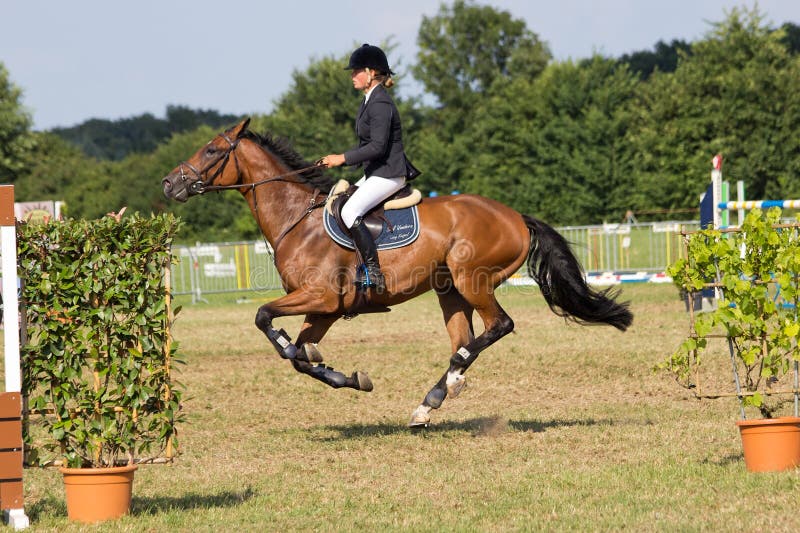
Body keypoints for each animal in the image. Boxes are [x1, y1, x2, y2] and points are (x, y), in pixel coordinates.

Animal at [162, 118, 633, 427]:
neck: (298, 219)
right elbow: (299, 357)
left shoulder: (321, 297)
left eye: (211, 150)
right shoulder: (326, 310)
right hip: (449, 290)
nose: (169, 184)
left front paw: (310, 356)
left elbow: (264, 319)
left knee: (499, 326)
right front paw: (345, 376)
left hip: (472, 280)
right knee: (466, 340)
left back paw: (443, 388)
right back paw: (433, 400)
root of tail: (516, 216)